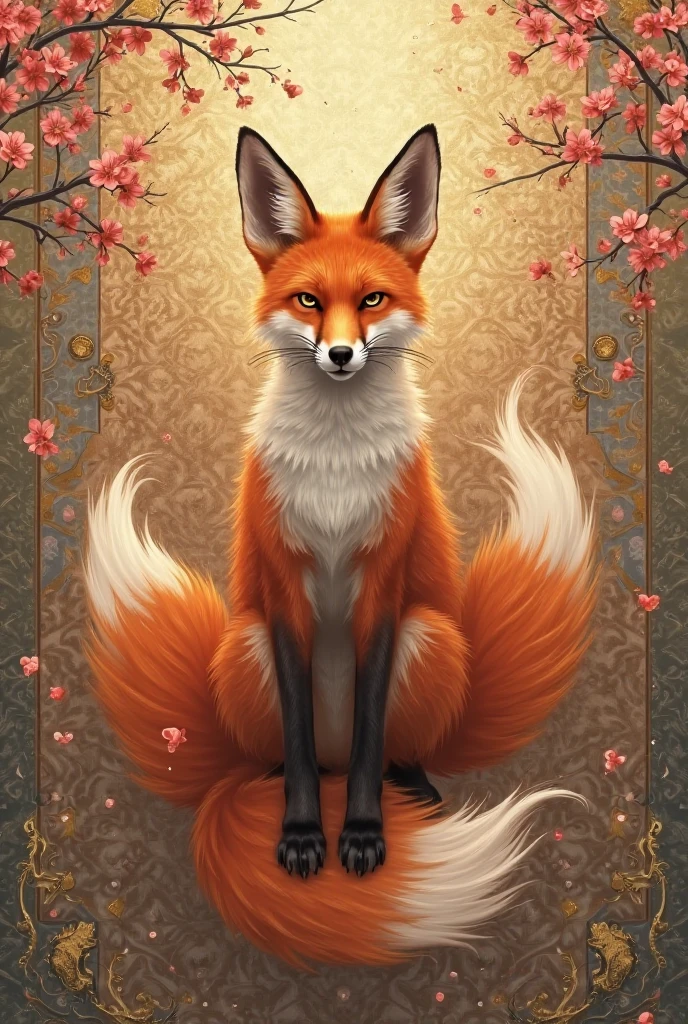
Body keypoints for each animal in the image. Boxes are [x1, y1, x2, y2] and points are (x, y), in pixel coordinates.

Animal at [84, 124, 597, 968]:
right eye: (309, 301)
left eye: (373, 300)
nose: (341, 356)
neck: (334, 474)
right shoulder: (285, 589)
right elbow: (296, 736)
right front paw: (300, 837)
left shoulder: (383, 588)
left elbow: (367, 736)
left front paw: (360, 834)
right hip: (246, 644)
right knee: (290, 753)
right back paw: (272, 786)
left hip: (429, 634)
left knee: (381, 750)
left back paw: (414, 787)